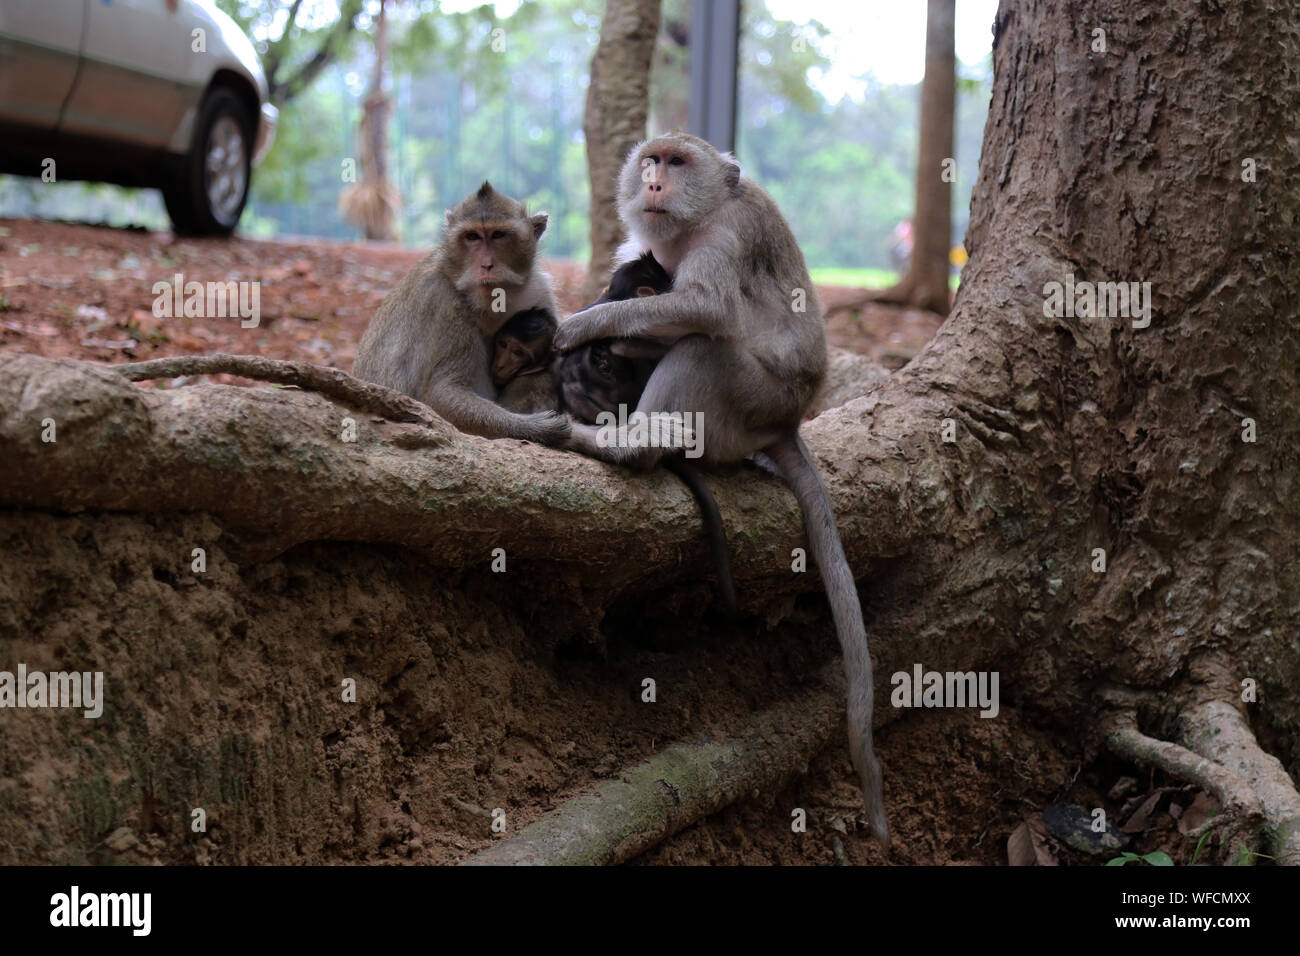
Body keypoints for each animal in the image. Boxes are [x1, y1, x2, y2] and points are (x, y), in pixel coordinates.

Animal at [353, 181, 569, 446]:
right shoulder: (444, 304)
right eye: (472, 236)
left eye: (499, 235)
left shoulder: (539, 290)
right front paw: (539, 428)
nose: (486, 265)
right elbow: (442, 392)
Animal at [553, 132, 889, 846]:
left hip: (747, 402)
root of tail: (789, 422)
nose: (654, 181)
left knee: (704, 345)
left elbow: (702, 308)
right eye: (651, 160)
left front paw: (583, 325)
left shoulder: (725, 238)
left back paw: (624, 443)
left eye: (677, 163)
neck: (693, 220)